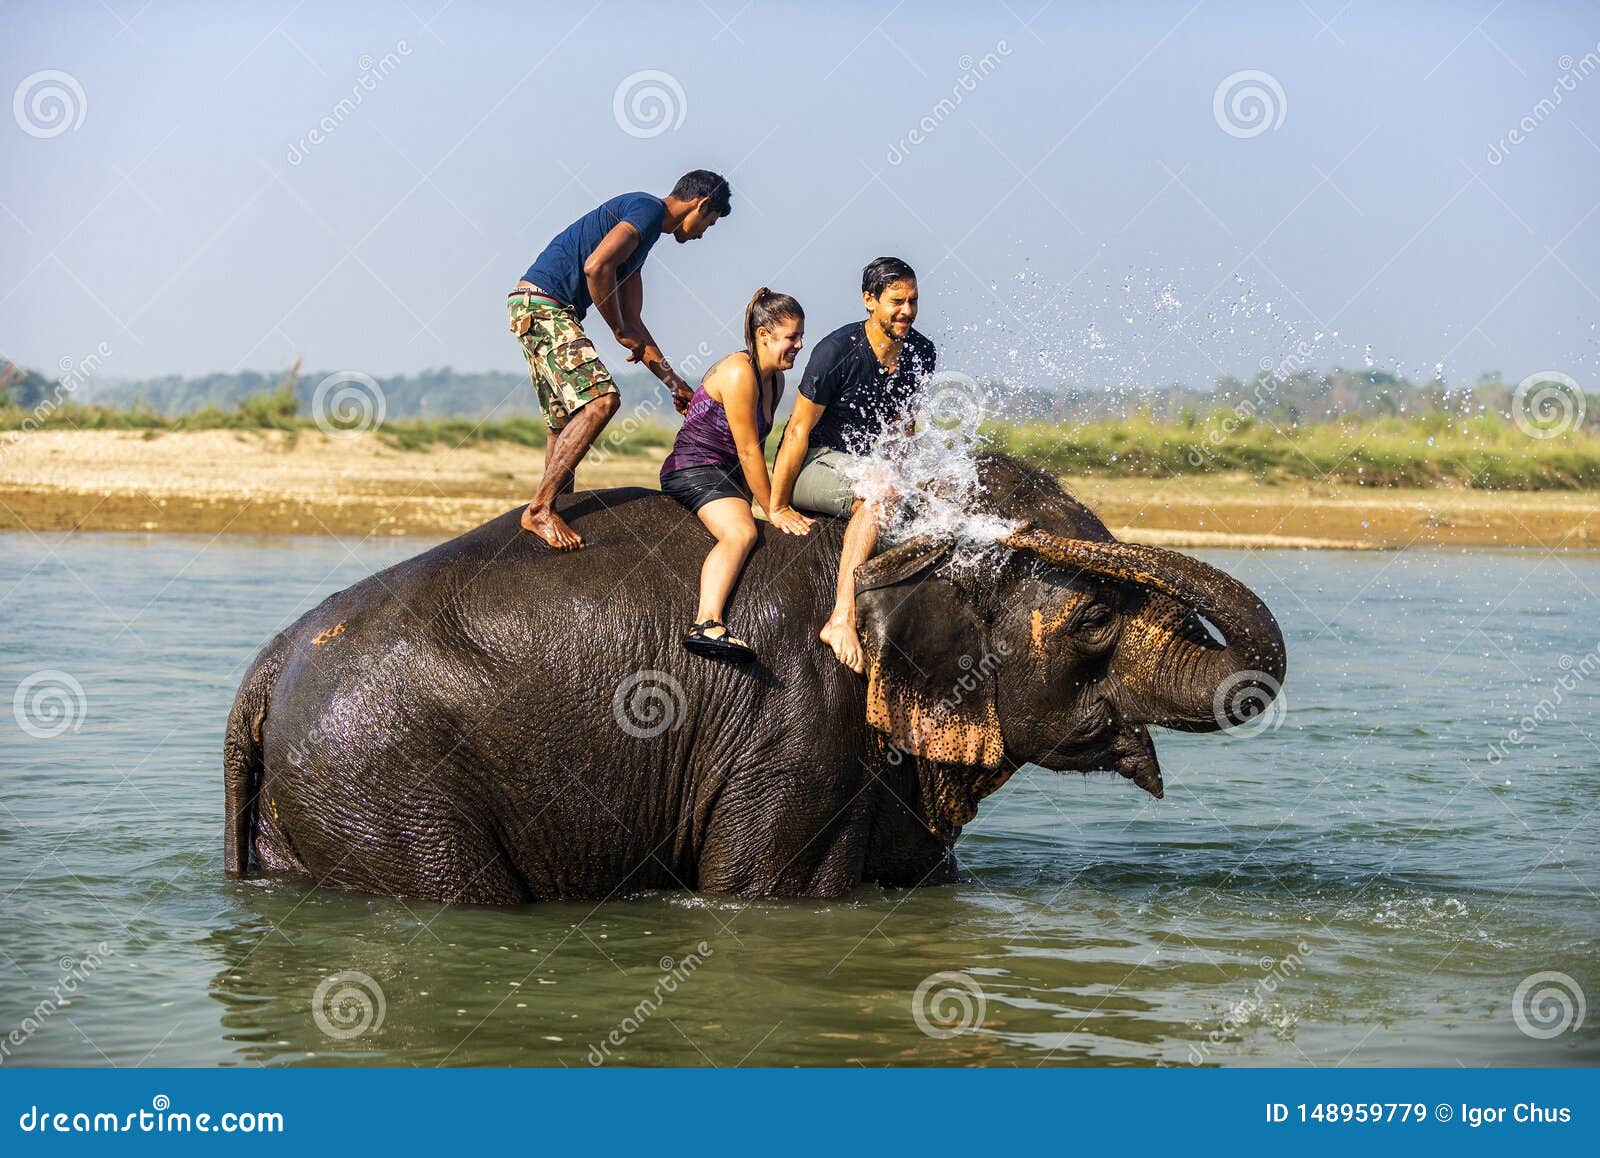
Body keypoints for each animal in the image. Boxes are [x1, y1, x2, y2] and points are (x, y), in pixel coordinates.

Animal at [222, 452, 1286, 902]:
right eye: (1097, 620)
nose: (1018, 521)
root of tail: (266, 671)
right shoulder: (797, 719)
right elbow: (766, 891)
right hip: (382, 781)